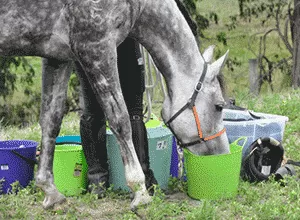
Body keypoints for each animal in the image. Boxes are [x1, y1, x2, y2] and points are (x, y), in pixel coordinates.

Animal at [0, 0, 230, 210]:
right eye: (219, 106)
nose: (222, 154)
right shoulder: (97, 48)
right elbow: (120, 121)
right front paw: (140, 192)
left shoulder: (56, 58)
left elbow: (51, 122)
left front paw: (51, 192)